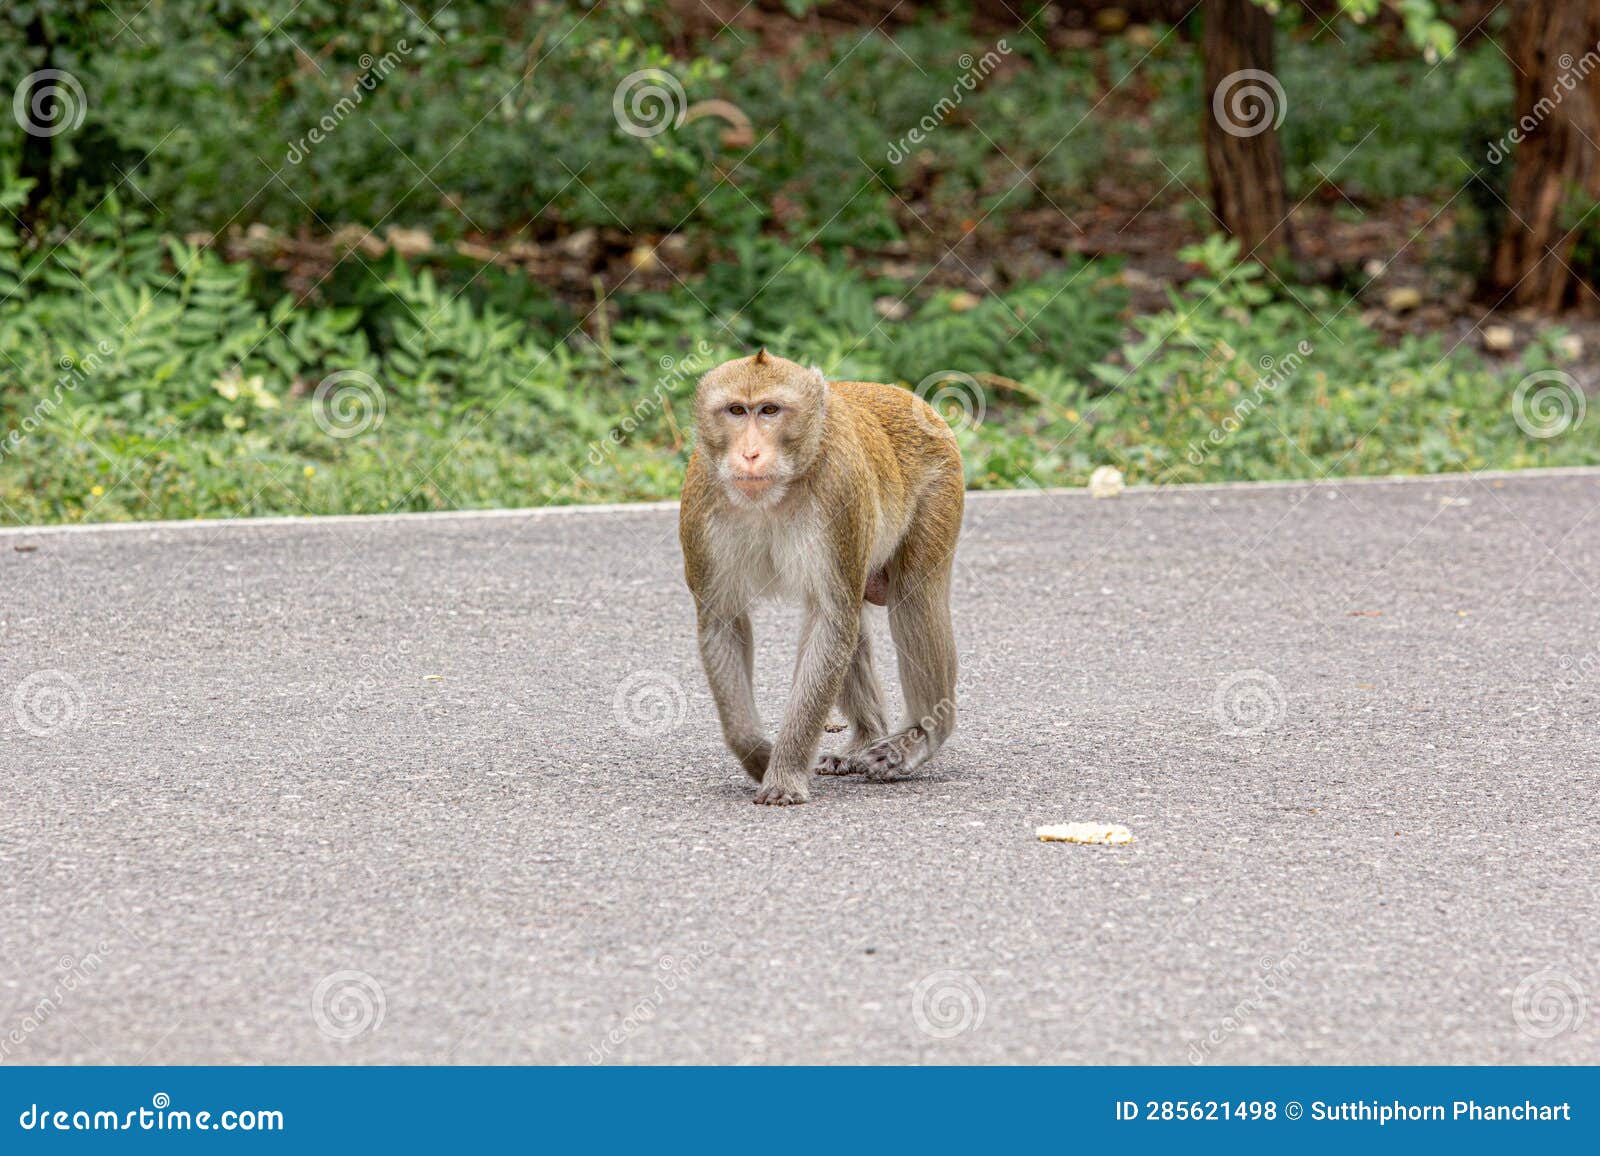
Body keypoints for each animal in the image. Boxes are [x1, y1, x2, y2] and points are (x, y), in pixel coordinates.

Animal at [678, 349, 963, 805]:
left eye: (770, 410)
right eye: (737, 411)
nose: (750, 454)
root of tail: (909, 398)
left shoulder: (839, 493)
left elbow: (831, 622)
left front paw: (784, 772)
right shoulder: (701, 500)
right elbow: (723, 621)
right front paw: (758, 754)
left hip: (940, 486)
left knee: (914, 601)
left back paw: (919, 736)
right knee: (852, 617)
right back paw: (866, 738)